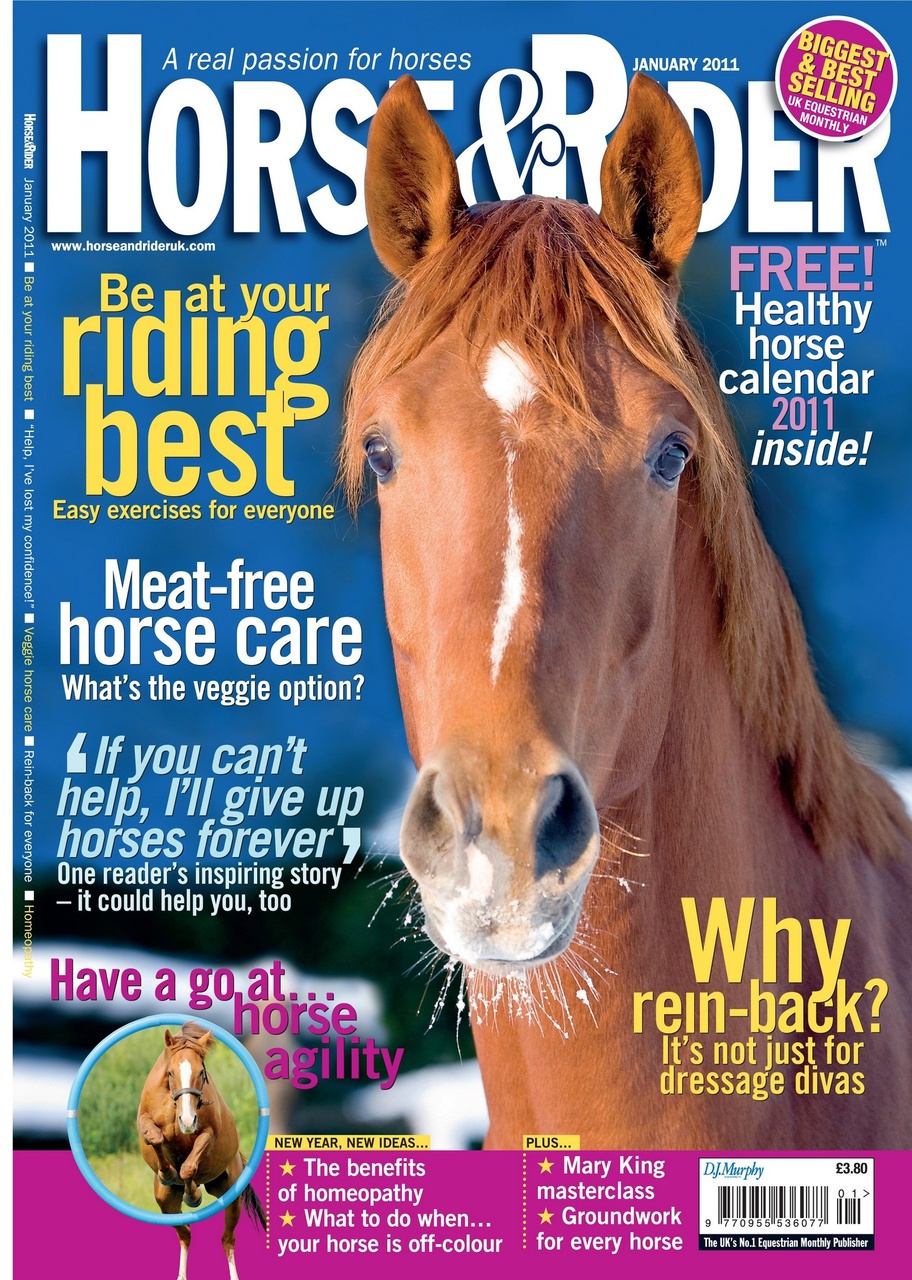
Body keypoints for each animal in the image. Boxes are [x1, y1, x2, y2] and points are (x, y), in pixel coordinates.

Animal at [137, 1022, 266, 1279]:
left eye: (201, 1073)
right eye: (170, 1073)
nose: (187, 1121)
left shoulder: (207, 1134)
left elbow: (188, 1167)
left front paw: (193, 1195)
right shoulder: (144, 1120)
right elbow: (155, 1136)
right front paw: (167, 1173)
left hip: (230, 1195)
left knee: (227, 1239)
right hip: (166, 1202)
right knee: (185, 1233)